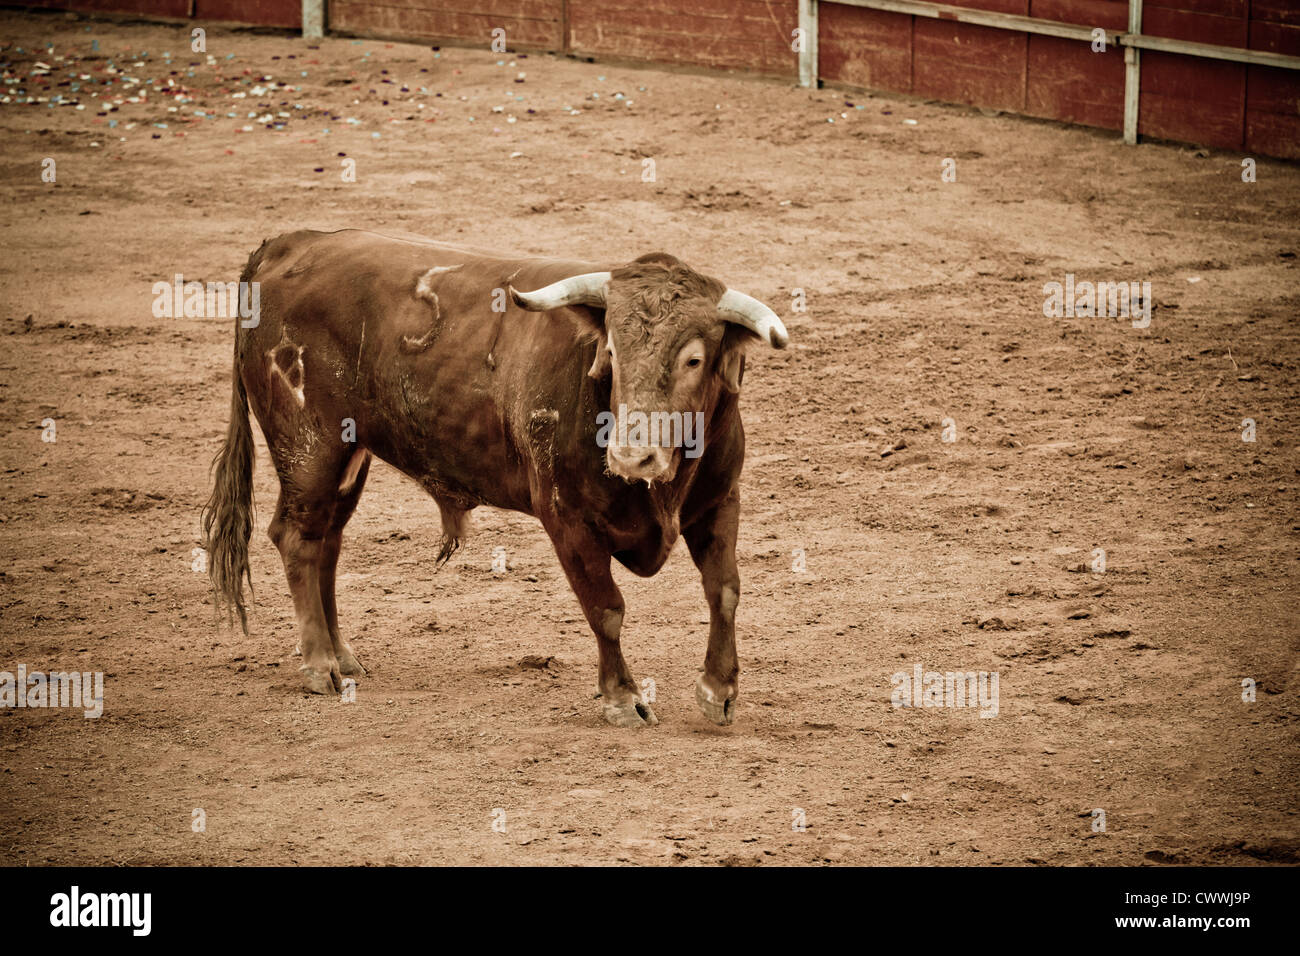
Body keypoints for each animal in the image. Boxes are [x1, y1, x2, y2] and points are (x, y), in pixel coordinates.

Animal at [201, 229, 788, 727]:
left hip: (348, 455)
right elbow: (606, 608)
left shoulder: (720, 501)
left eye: (694, 359)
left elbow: (724, 591)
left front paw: (719, 690)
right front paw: (623, 698)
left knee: (328, 541)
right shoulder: (566, 518)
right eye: (613, 351)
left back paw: (343, 655)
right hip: (309, 449)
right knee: (298, 538)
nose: (631, 456)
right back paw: (320, 663)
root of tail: (292, 243)